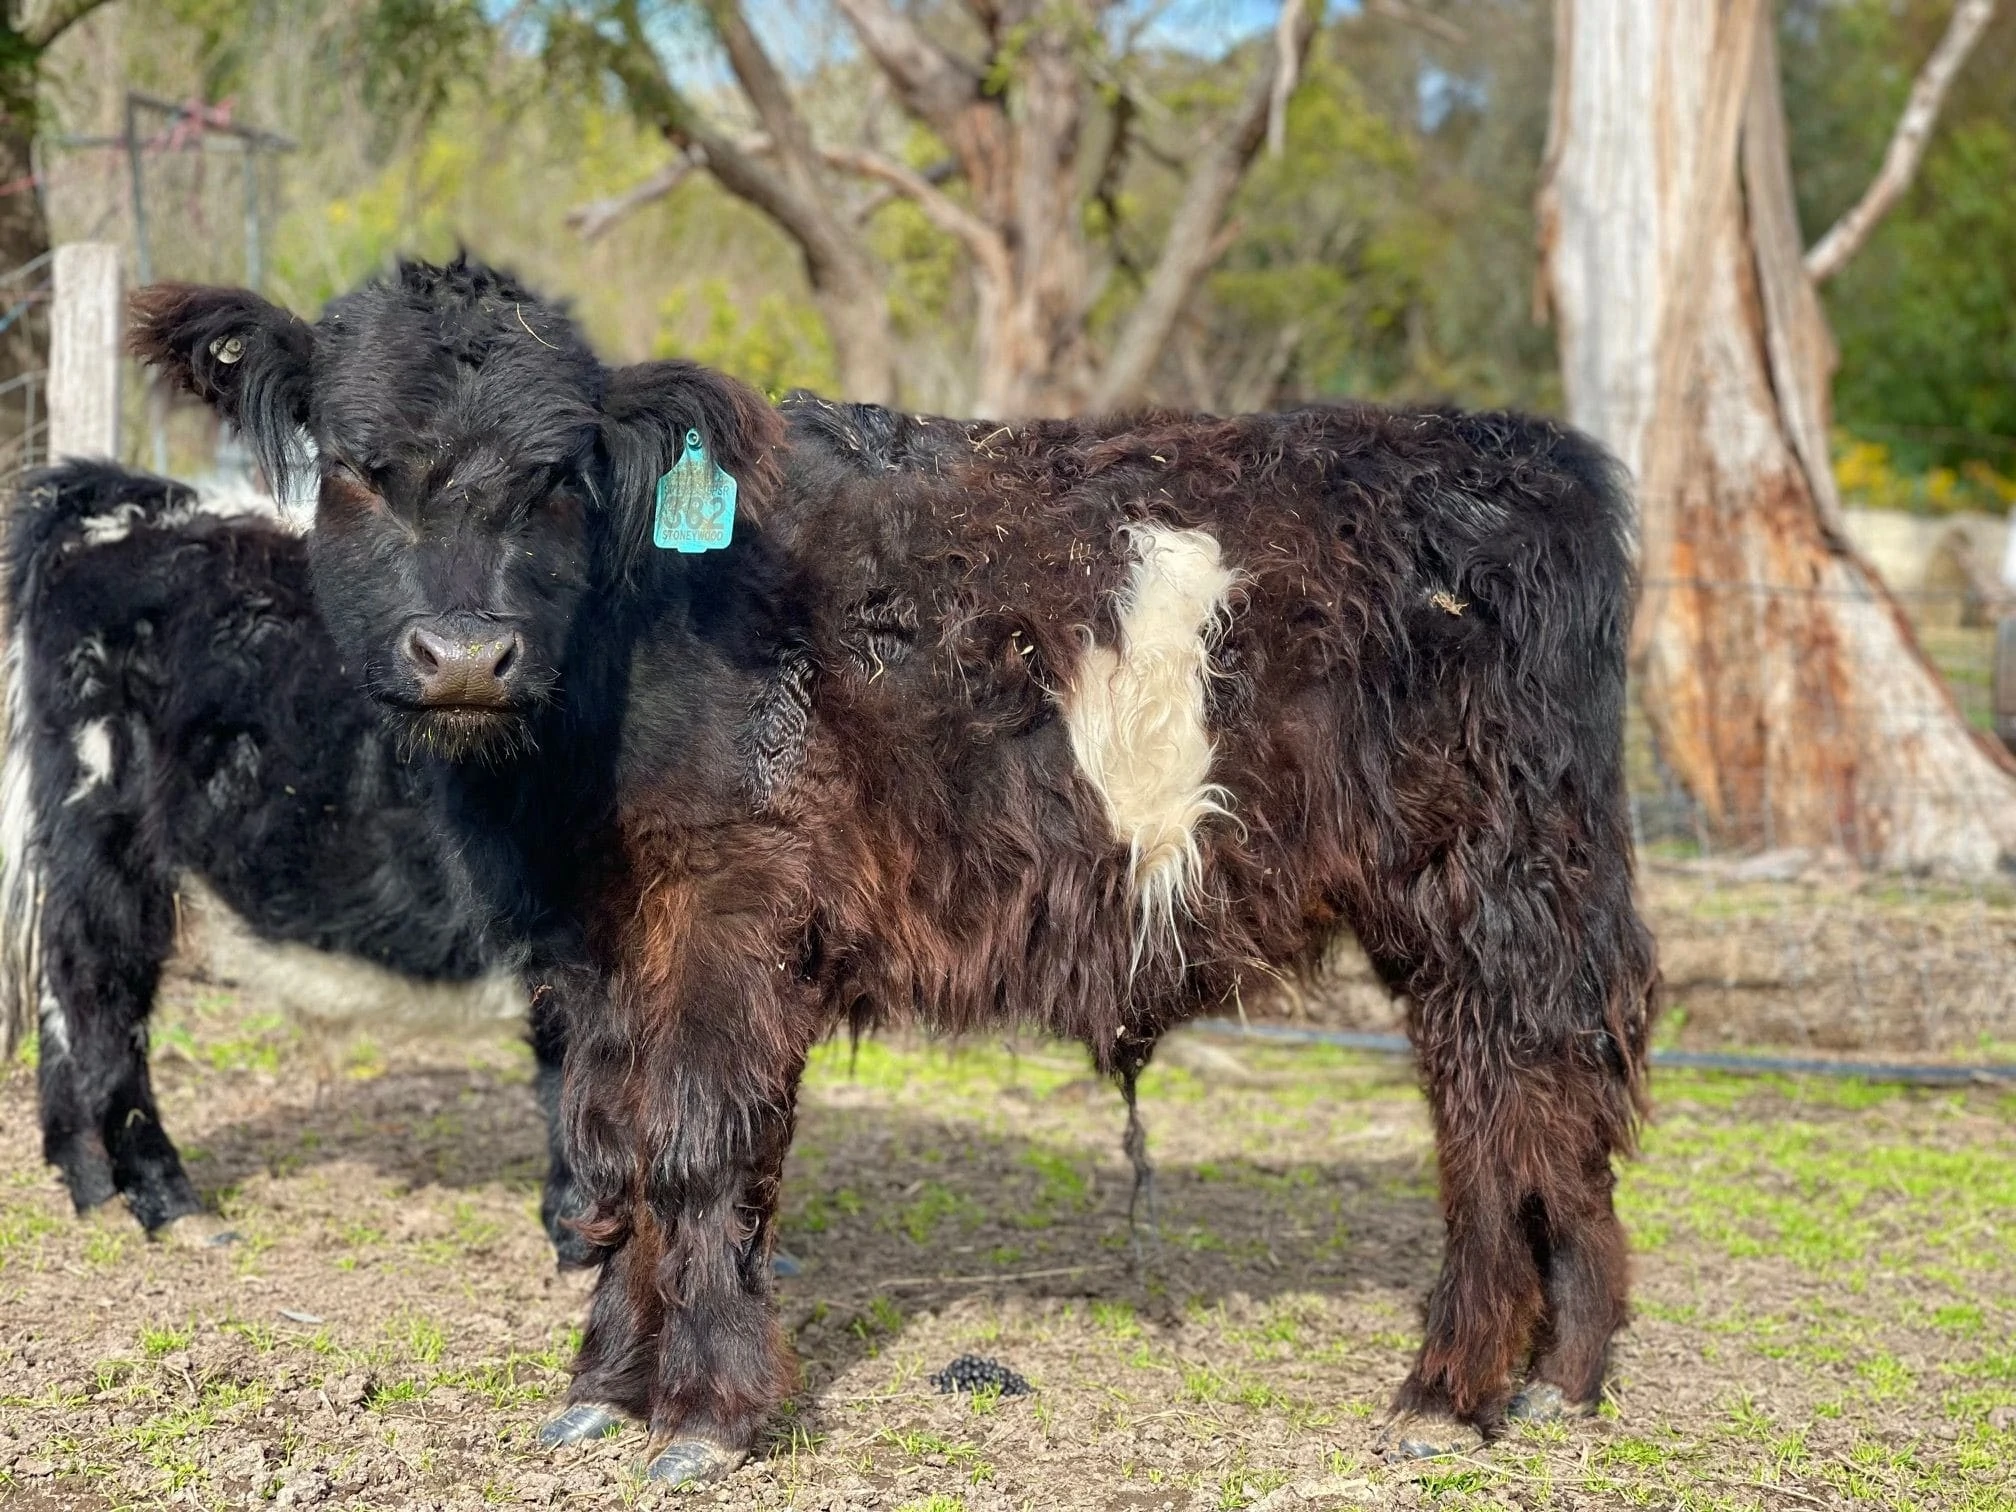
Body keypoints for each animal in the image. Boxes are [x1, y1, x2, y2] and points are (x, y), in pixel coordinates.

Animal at [130, 254, 1658, 1482]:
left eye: (560, 476)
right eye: (356, 465)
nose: (463, 655)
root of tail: (1519, 452)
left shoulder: (735, 903)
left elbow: (697, 1144)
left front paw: (705, 1415)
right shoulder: (600, 936)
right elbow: (616, 1144)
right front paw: (604, 1390)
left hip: (1498, 880)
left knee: (1507, 1108)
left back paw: (1455, 1392)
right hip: (1480, 905)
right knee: (1533, 1109)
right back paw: (1557, 1380)